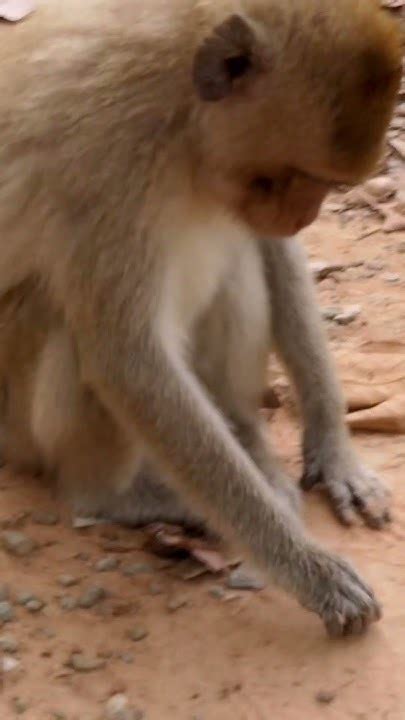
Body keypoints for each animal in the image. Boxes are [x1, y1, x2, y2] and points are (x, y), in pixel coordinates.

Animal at [0, 0, 401, 637]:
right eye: (292, 175)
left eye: (327, 186)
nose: (304, 215)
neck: (179, 120)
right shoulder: (103, 161)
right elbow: (128, 360)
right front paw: (307, 568)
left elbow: (269, 247)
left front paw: (333, 447)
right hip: (20, 422)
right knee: (69, 325)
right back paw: (115, 496)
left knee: (237, 256)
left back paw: (246, 434)